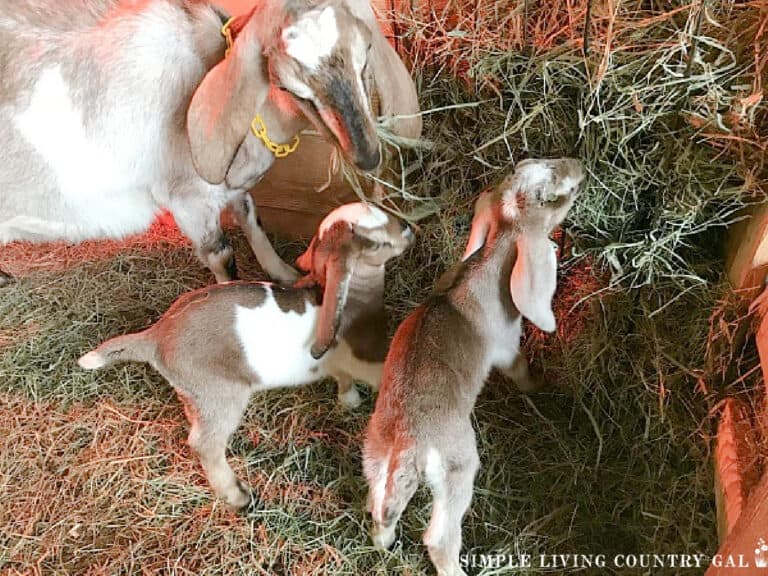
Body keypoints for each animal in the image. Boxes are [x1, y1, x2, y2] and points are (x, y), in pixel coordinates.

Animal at [0, 0, 421, 286]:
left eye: (365, 57)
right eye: (288, 87)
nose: (368, 157)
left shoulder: (230, 186)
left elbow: (253, 220)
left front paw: (283, 273)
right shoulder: (187, 201)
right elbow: (222, 256)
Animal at [78, 202, 413, 509]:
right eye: (375, 242)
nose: (408, 228)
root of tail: (156, 336)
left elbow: (342, 378)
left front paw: (348, 401)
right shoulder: (363, 360)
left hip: (196, 396)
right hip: (219, 395)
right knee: (205, 443)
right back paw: (236, 495)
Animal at [363, 158, 584, 576]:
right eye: (555, 197)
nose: (580, 168)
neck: (482, 270)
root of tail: (408, 444)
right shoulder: (506, 347)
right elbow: (521, 371)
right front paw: (541, 383)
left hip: (375, 454)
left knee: (380, 508)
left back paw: (384, 542)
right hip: (457, 466)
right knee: (439, 536)